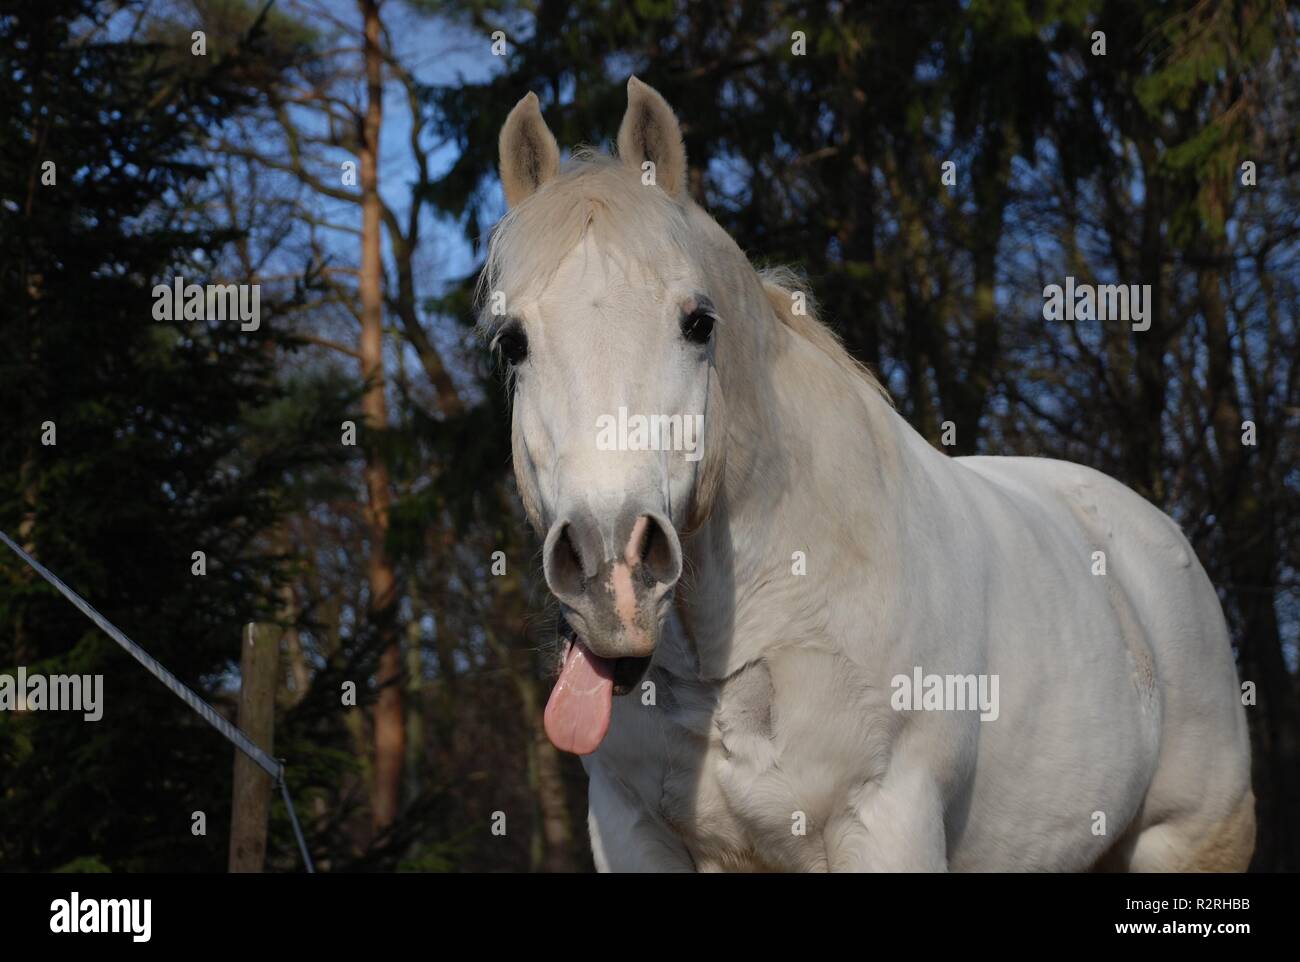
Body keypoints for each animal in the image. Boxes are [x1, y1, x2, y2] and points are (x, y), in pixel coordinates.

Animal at [481, 77, 1255, 872]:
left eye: (698, 323)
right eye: (513, 343)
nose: (613, 573)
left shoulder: (885, 817)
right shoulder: (632, 830)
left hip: (1186, 838)